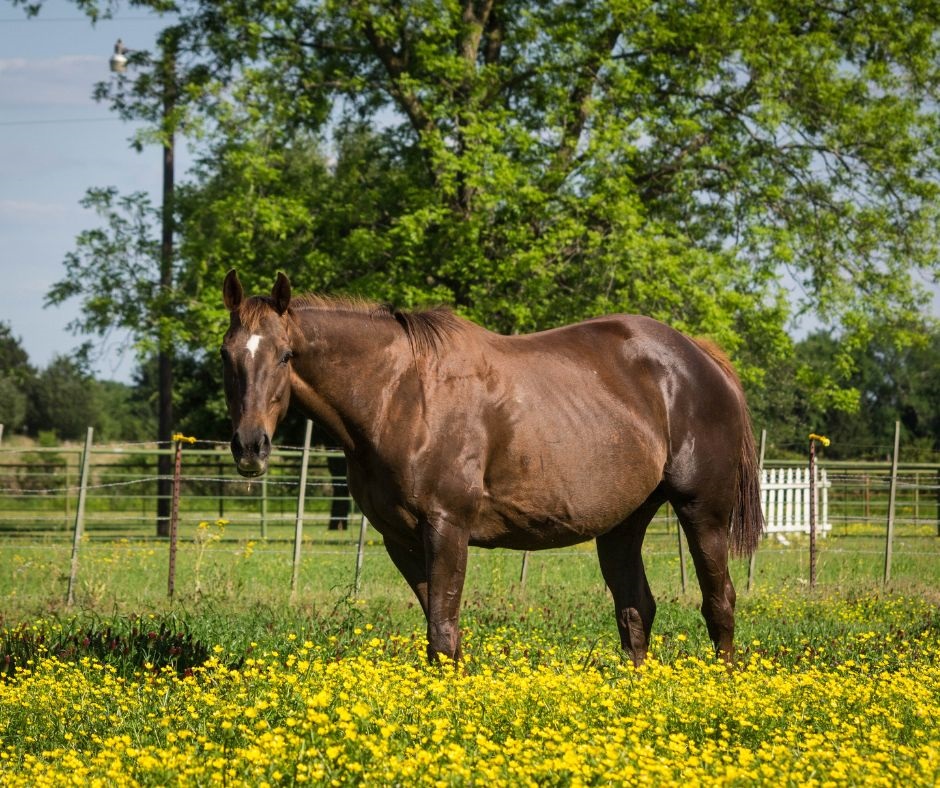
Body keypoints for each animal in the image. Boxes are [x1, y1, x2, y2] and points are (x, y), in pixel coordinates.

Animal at [220, 270, 764, 666]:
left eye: (286, 355)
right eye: (227, 356)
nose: (250, 447)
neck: (400, 395)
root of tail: (699, 357)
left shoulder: (447, 528)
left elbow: (442, 631)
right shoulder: (401, 539)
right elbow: (441, 631)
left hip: (702, 513)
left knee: (719, 604)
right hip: (622, 525)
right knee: (635, 610)